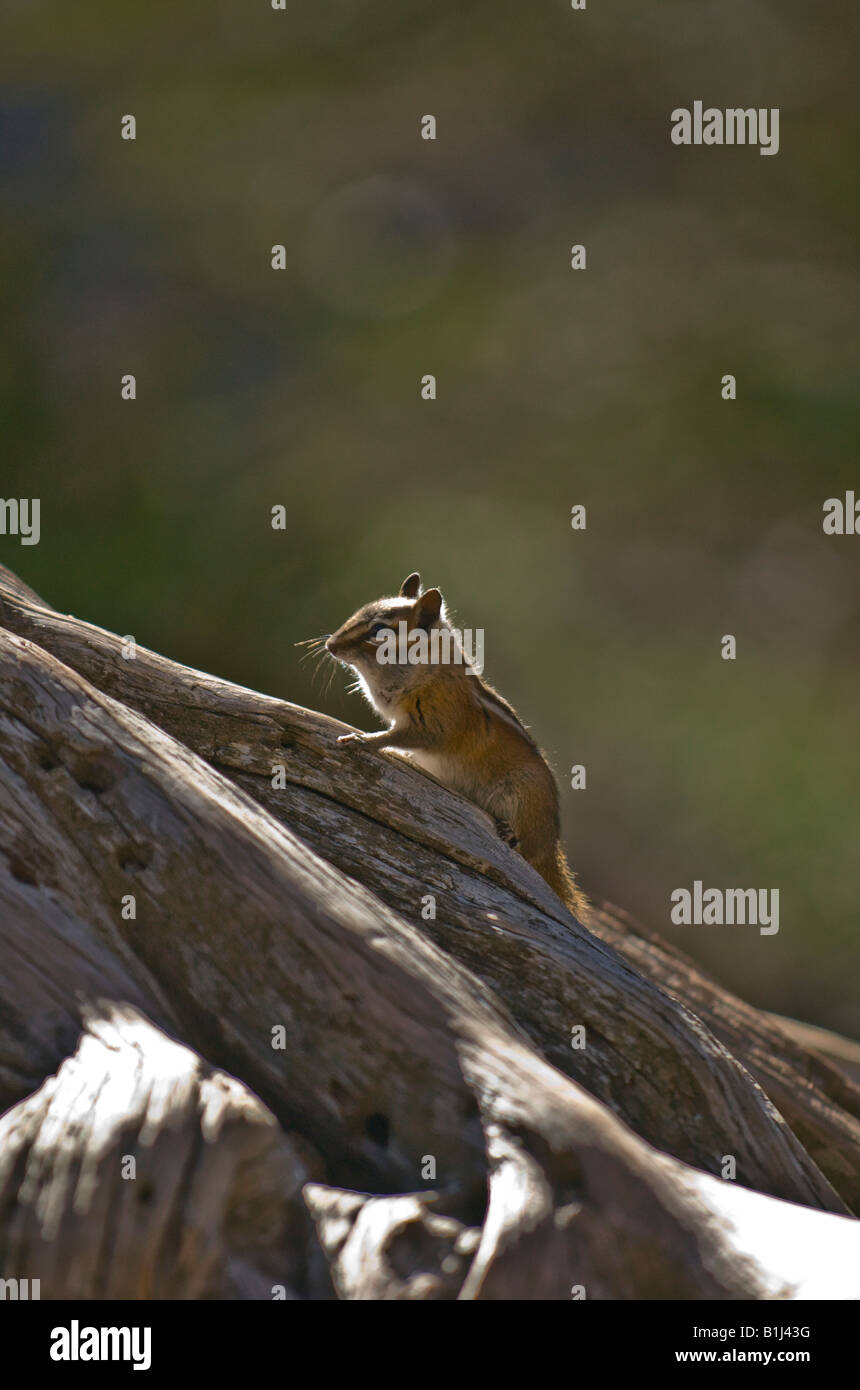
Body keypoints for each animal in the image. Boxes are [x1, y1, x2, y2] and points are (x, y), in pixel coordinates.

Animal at [323, 572, 586, 919]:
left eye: (380, 631)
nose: (330, 645)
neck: (425, 666)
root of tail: (551, 847)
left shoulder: (432, 722)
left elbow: (399, 736)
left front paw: (364, 741)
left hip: (524, 795)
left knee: (527, 845)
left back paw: (511, 834)